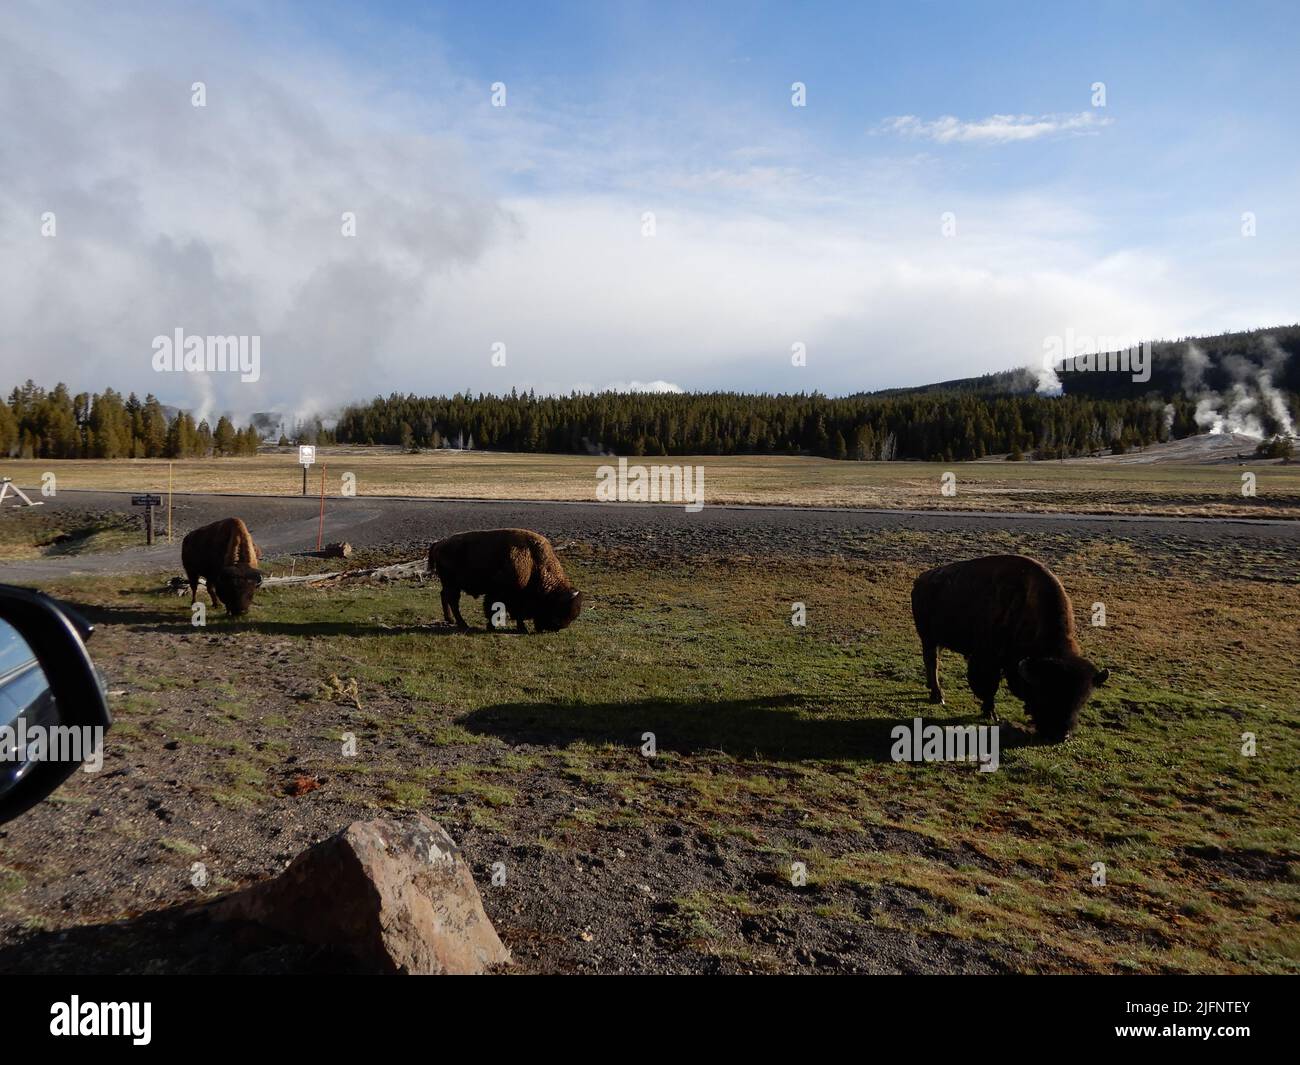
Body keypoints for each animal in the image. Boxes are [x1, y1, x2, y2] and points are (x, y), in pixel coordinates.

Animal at [428, 529, 582, 633]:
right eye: (559, 609)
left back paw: (450, 620)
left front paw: (521, 628)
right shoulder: (500, 594)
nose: (555, 628)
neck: (533, 561)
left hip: (449, 584)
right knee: (453, 601)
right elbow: (495, 609)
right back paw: (463, 624)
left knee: (444, 596)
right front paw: (494, 627)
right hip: (452, 585)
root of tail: (439, 543)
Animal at [911, 554, 1108, 742]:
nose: (1061, 736)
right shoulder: (986, 660)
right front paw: (991, 713)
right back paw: (938, 696)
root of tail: (921, 579)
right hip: (928, 638)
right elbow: (988, 686)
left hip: (937, 640)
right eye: (1046, 695)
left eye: (1081, 702)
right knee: (932, 662)